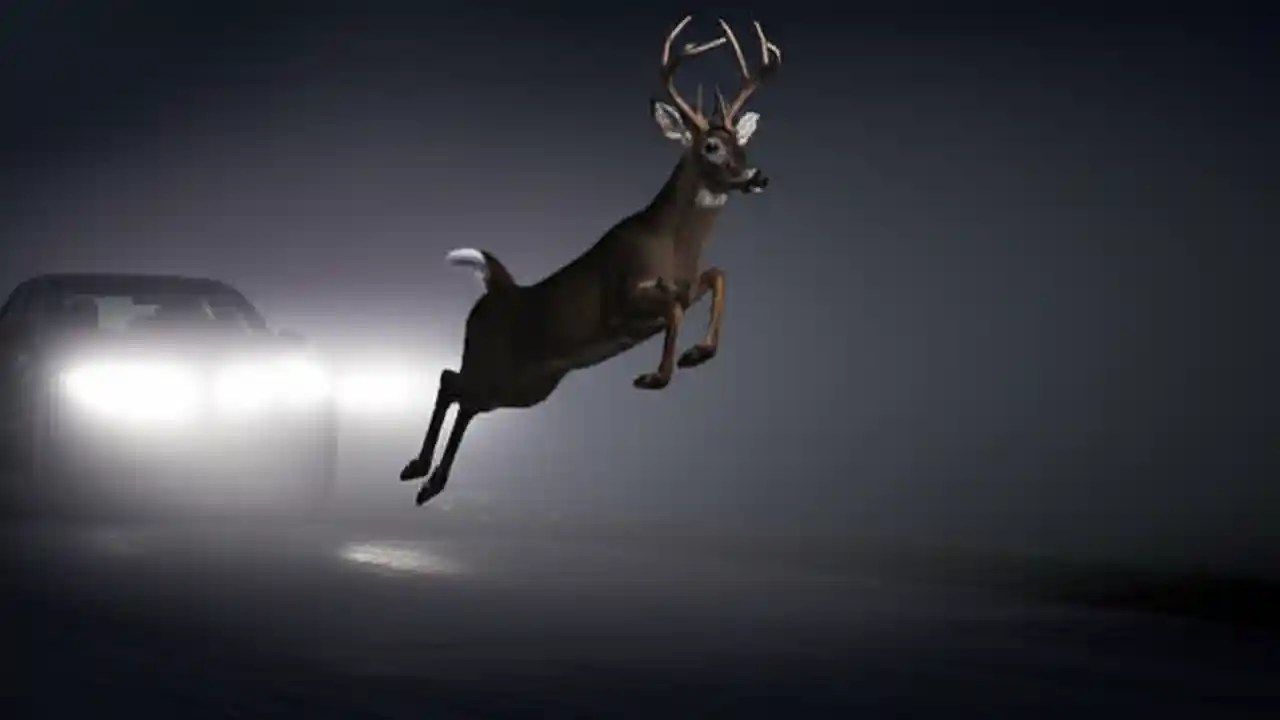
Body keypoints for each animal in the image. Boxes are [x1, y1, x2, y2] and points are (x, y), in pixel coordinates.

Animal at [399, 15, 782, 506]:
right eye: (711, 146)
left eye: (742, 144)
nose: (757, 176)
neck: (671, 245)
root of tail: (498, 287)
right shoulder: (620, 302)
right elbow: (673, 308)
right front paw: (656, 376)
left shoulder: (685, 283)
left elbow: (715, 276)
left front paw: (698, 354)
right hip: (493, 362)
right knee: (457, 388)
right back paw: (427, 478)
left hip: (527, 385)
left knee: (457, 387)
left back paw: (422, 472)